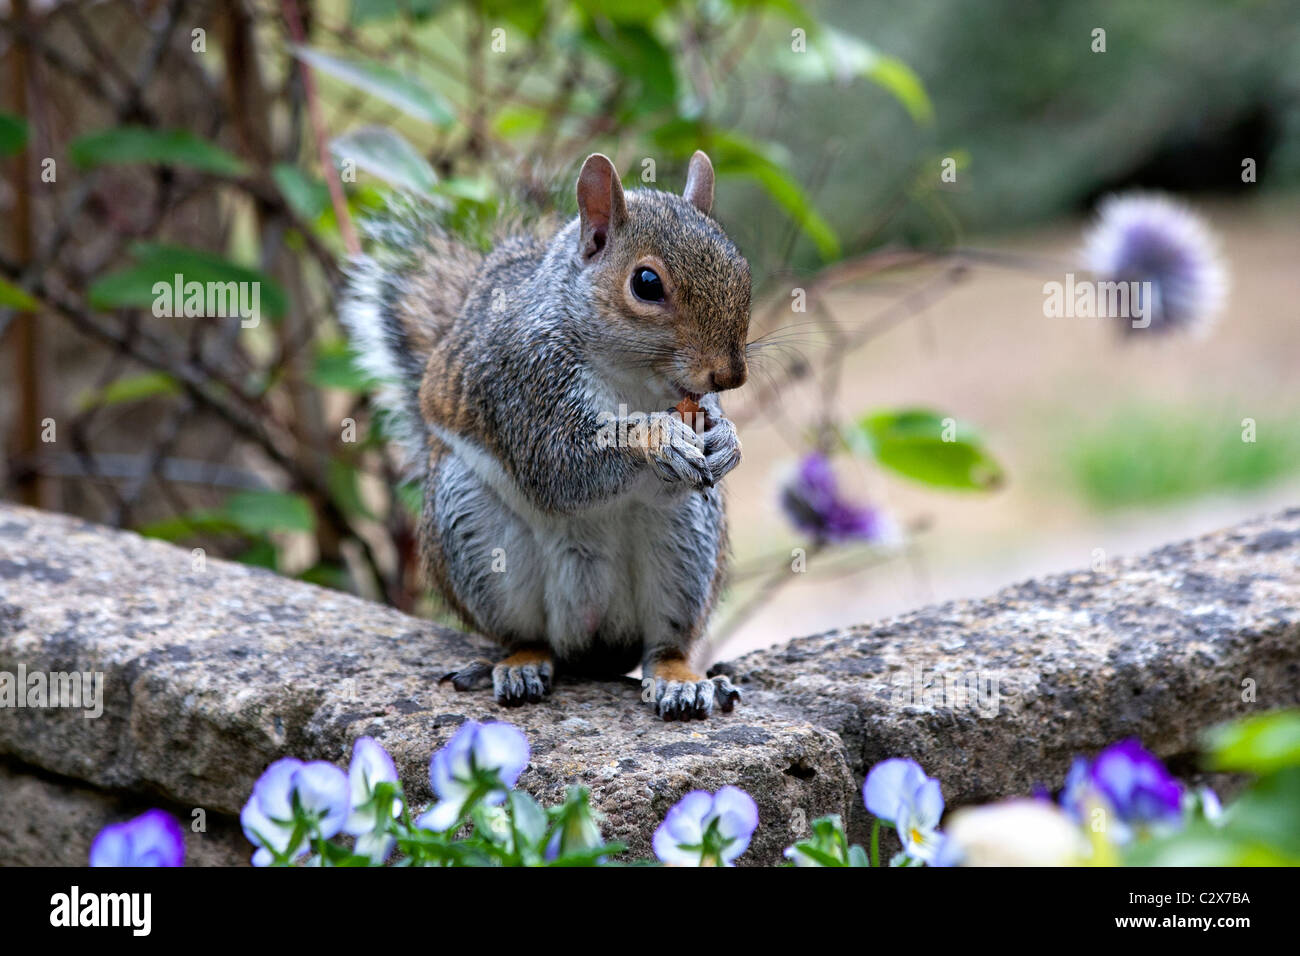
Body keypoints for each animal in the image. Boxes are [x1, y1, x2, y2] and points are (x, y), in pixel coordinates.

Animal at [340, 150, 751, 720]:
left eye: (742, 267)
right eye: (646, 283)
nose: (730, 375)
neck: (632, 377)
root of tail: (592, 640)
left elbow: (704, 425)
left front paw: (728, 439)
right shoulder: (523, 381)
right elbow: (559, 466)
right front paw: (656, 437)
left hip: (687, 538)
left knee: (664, 644)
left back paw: (681, 680)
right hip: (474, 531)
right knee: (526, 635)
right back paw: (520, 665)